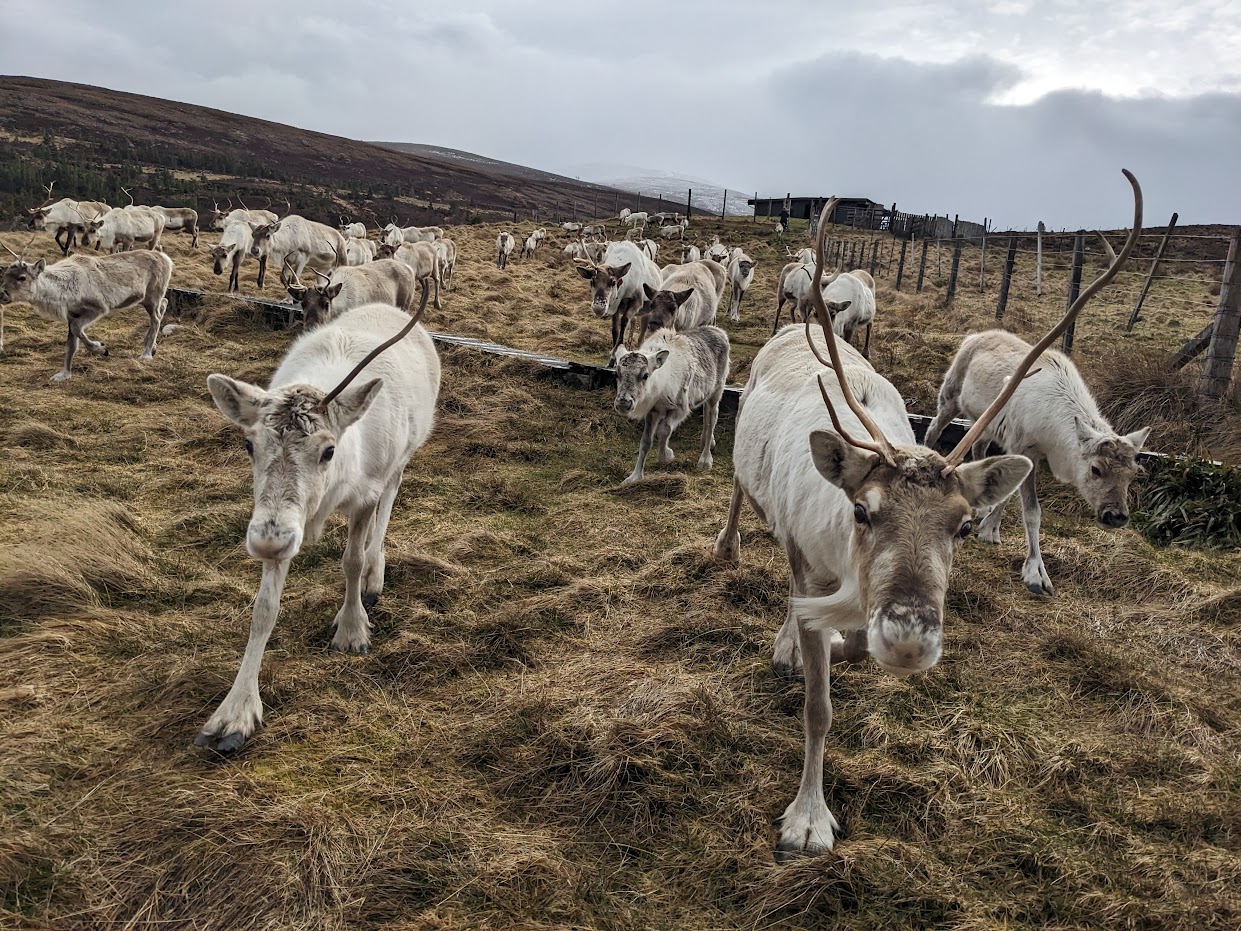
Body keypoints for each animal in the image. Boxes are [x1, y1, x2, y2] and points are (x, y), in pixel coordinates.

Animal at [196, 293, 441, 754]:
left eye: (328, 450)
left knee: (391, 497)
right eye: (248, 444)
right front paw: (233, 716)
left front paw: (352, 631)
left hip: (404, 455)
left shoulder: (364, 494)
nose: (265, 542)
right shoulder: (282, 523)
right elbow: (264, 608)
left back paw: (376, 577)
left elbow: (352, 561)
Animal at [712, 173, 1142, 860]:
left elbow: (845, 639)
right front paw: (808, 820)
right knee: (736, 494)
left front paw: (816, 644)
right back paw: (729, 548)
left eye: (963, 526)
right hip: (746, 455)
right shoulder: (811, 562)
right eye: (862, 510)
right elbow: (818, 707)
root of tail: (793, 332)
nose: (911, 640)